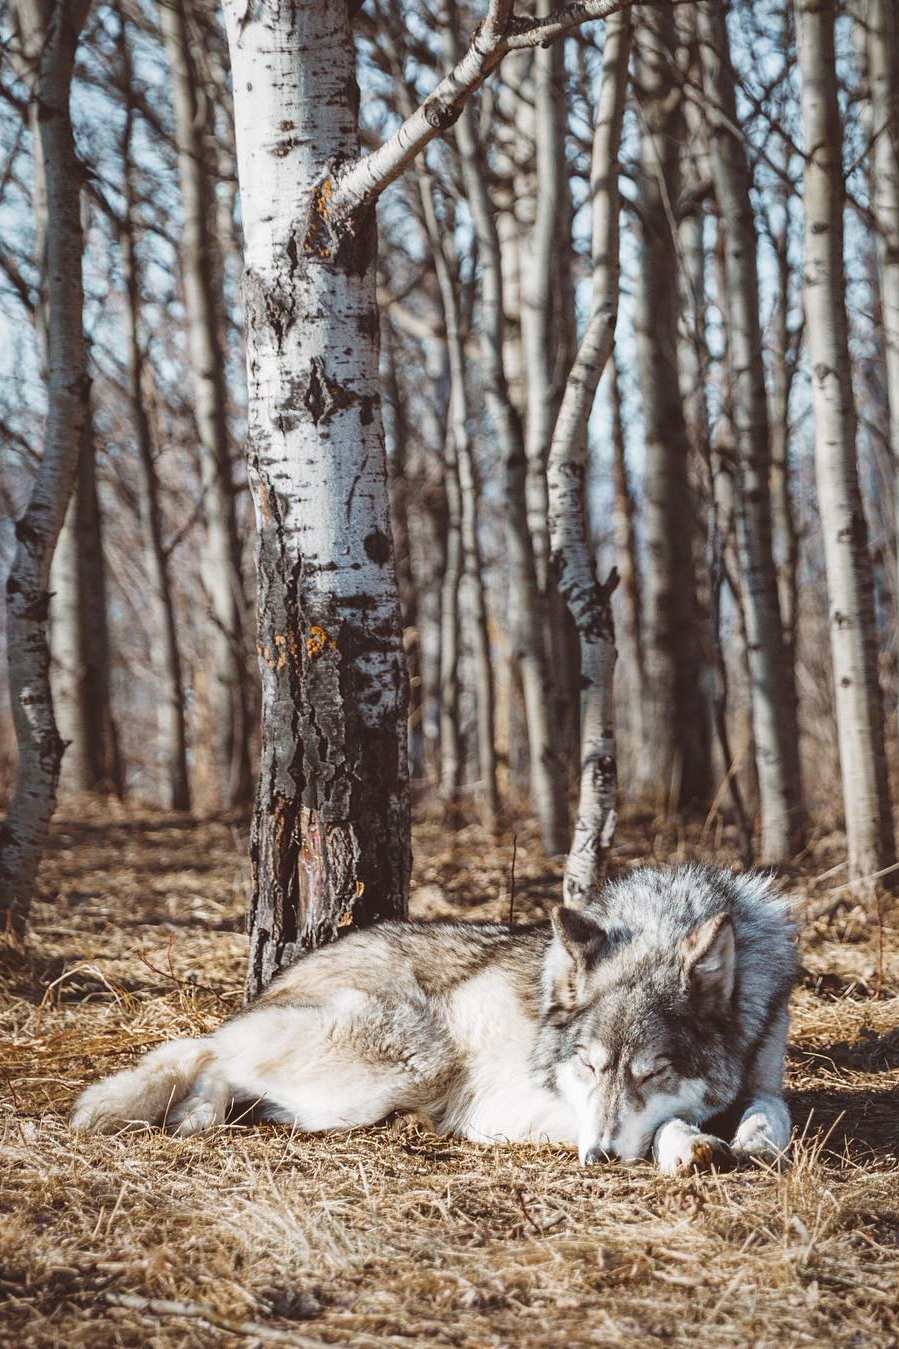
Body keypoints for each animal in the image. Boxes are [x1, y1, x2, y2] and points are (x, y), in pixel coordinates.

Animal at [71, 864, 797, 1174]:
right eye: (589, 1068)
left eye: (651, 1072)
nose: (596, 1158)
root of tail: (286, 977)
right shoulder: (517, 1109)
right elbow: (667, 1127)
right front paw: (689, 1144)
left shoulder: (764, 1073)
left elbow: (772, 1109)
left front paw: (754, 1136)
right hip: (406, 1058)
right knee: (201, 1047)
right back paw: (190, 1110)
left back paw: (198, 1112)